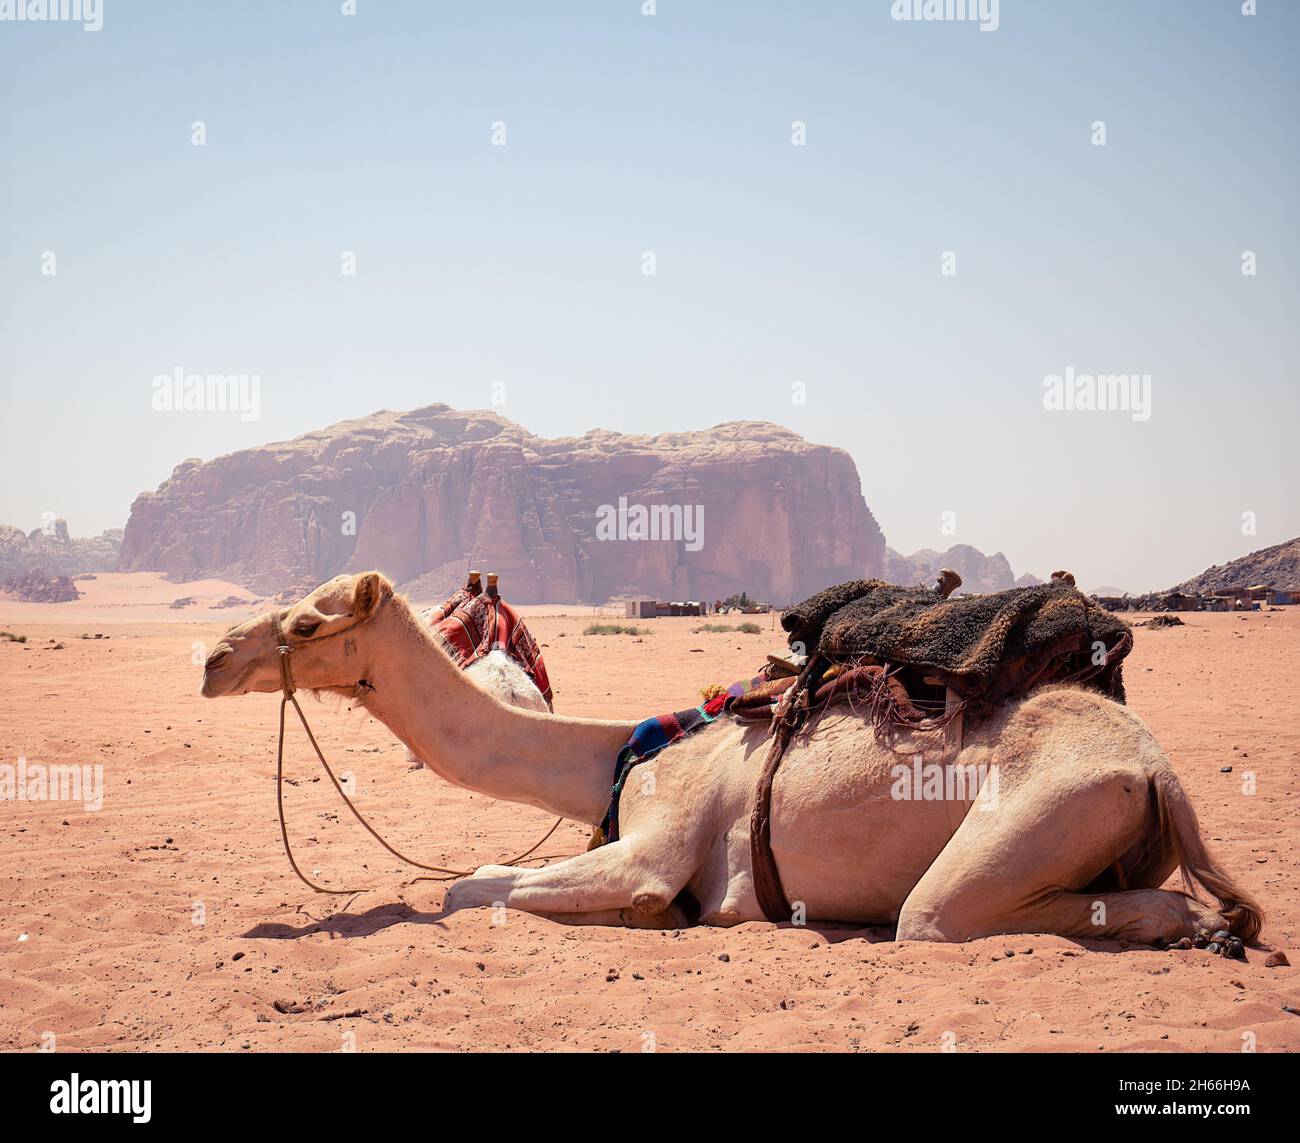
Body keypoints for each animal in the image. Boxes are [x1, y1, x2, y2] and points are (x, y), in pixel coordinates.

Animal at [201, 571, 1263, 946]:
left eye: (307, 620)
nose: (213, 657)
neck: (627, 752)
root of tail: (1158, 768)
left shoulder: (655, 843)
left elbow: (476, 885)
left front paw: (647, 912)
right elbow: (481, 877)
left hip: (1043, 811)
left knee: (942, 914)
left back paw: (1196, 928)